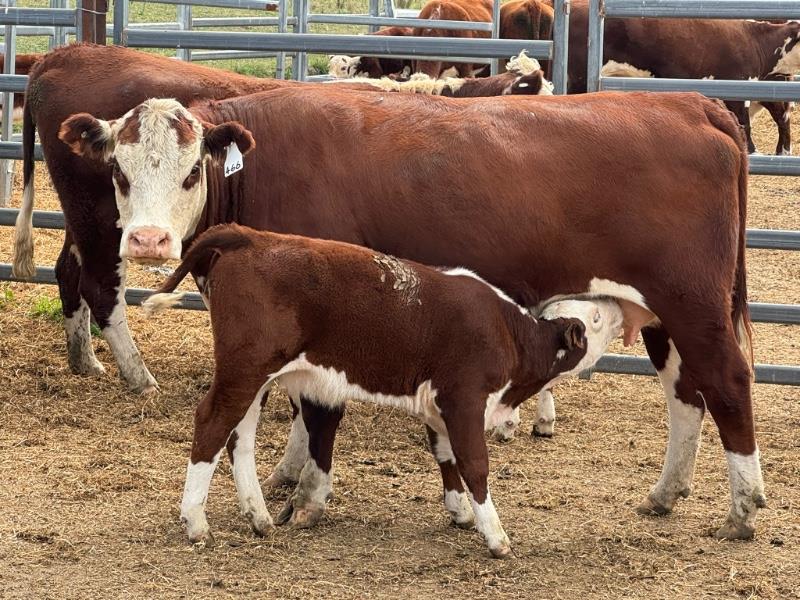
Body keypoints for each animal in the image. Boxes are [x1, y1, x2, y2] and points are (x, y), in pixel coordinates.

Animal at [141, 223, 623, 557]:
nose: (618, 307)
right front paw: (496, 536)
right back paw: (196, 522)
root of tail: (248, 236)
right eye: (595, 320)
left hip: (258, 375)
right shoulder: (464, 400)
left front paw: (460, 512)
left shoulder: (438, 406)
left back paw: (258, 517)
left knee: (240, 436)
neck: (508, 333)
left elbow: (446, 457)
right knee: (212, 423)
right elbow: (475, 465)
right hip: (244, 370)